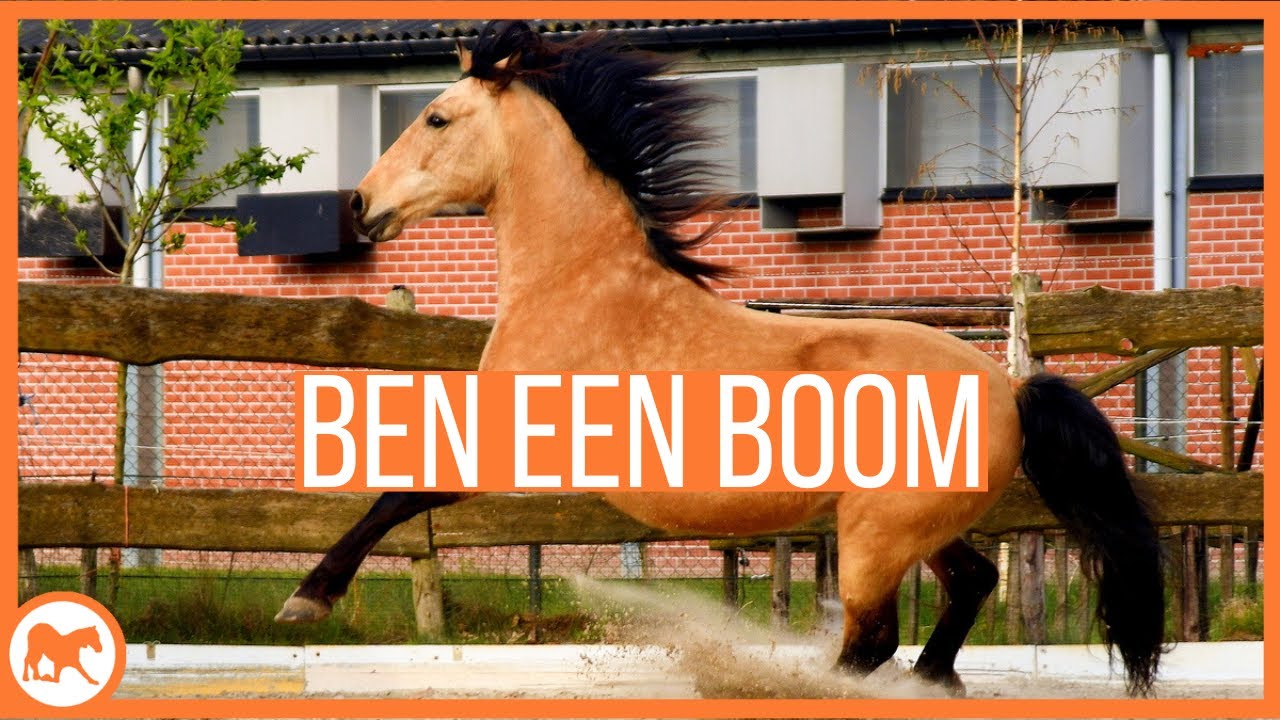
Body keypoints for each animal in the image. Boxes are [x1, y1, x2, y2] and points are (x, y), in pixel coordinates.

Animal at [276, 20, 1164, 697]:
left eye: (434, 118)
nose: (360, 205)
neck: (577, 285)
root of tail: (1010, 386)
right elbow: (403, 494)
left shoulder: (510, 442)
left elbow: (402, 493)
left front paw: (306, 601)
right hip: (910, 527)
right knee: (968, 585)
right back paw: (931, 681)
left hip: (876, 537)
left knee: (874, 636)